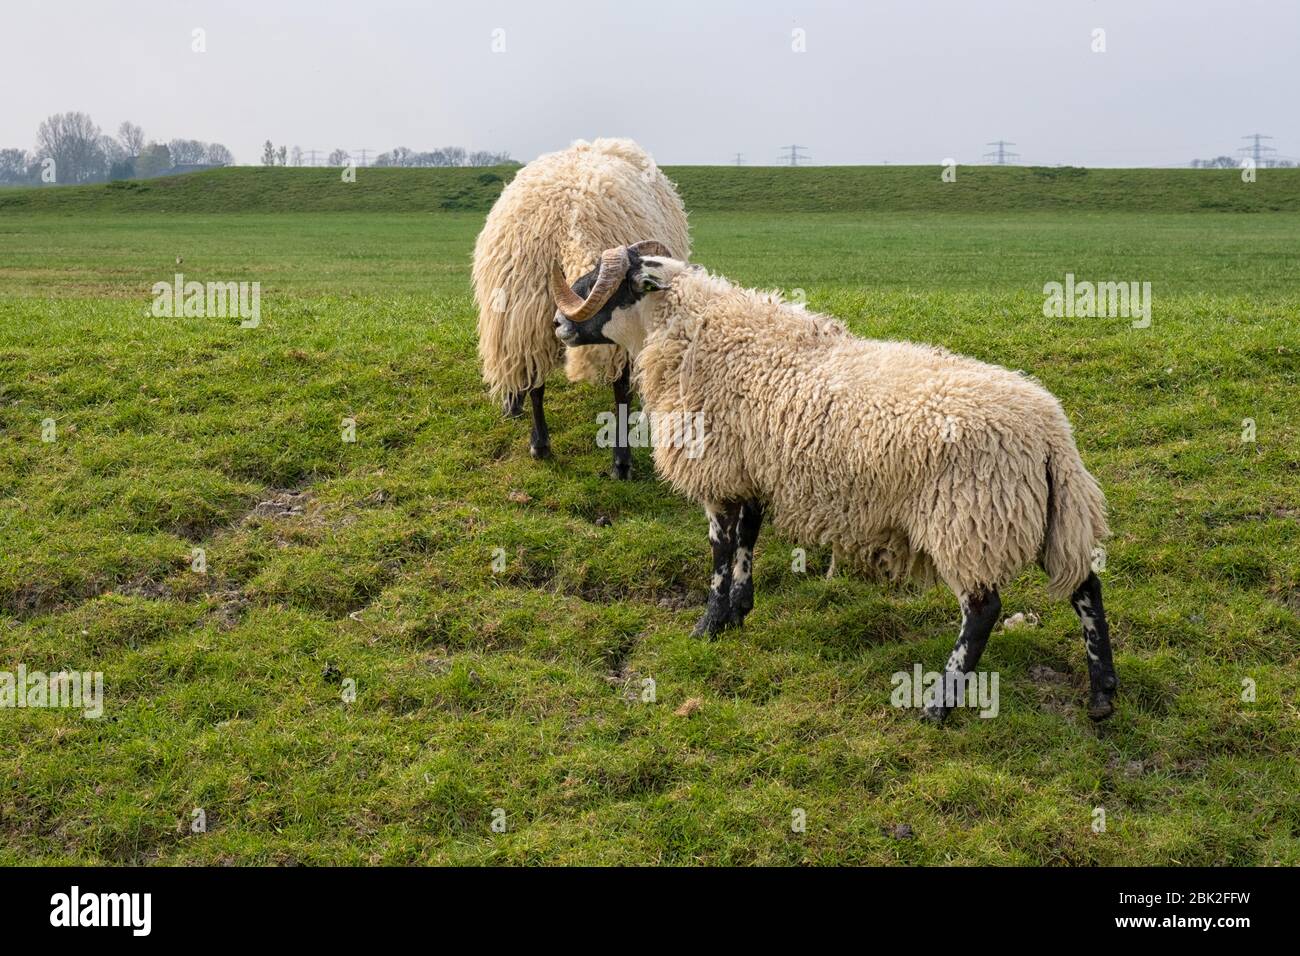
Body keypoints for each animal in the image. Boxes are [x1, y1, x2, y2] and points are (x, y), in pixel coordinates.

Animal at [548, 244, 1119, 722]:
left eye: (602, 280)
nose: (557, 323)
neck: (688, 334)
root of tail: (1049, 433)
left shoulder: (718, 468)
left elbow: (720, 551)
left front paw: (708, 626)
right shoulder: (752, 468)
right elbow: (747, 541)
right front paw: (738, 612)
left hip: (968, 517)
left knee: (983, 612)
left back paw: (940, 703)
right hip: (1041, 512)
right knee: (1085, 585)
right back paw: (1102, 696)